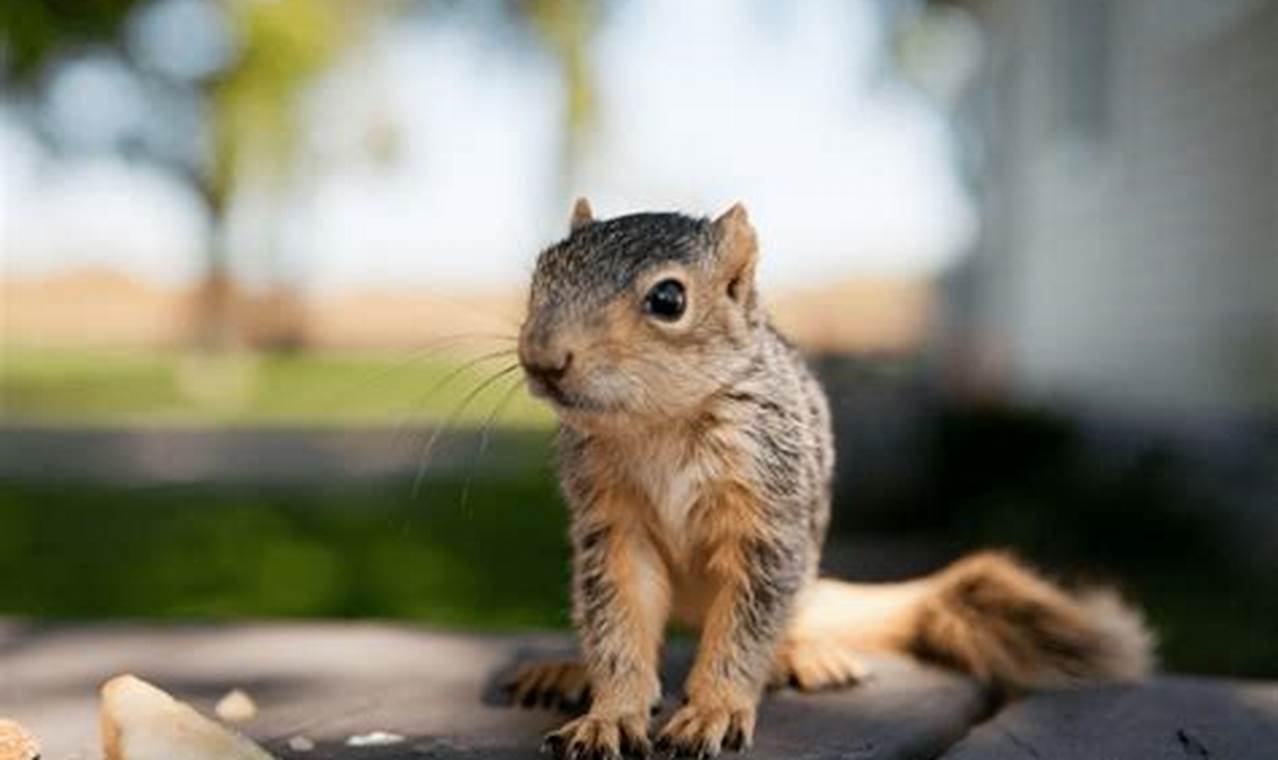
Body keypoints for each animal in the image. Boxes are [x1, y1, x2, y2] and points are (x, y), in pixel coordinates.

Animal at [506, 200, 1153, 759]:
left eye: (668, 298)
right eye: (540, 274)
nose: (542, 358)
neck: (659, 422)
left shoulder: (769, 518)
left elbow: (748, 624)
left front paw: (714, 709)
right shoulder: (614, 526)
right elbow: (618, 621)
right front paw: (611, 715)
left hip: (802, 571)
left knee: (783, 622)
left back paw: (803, 656)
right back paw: (568, 670)